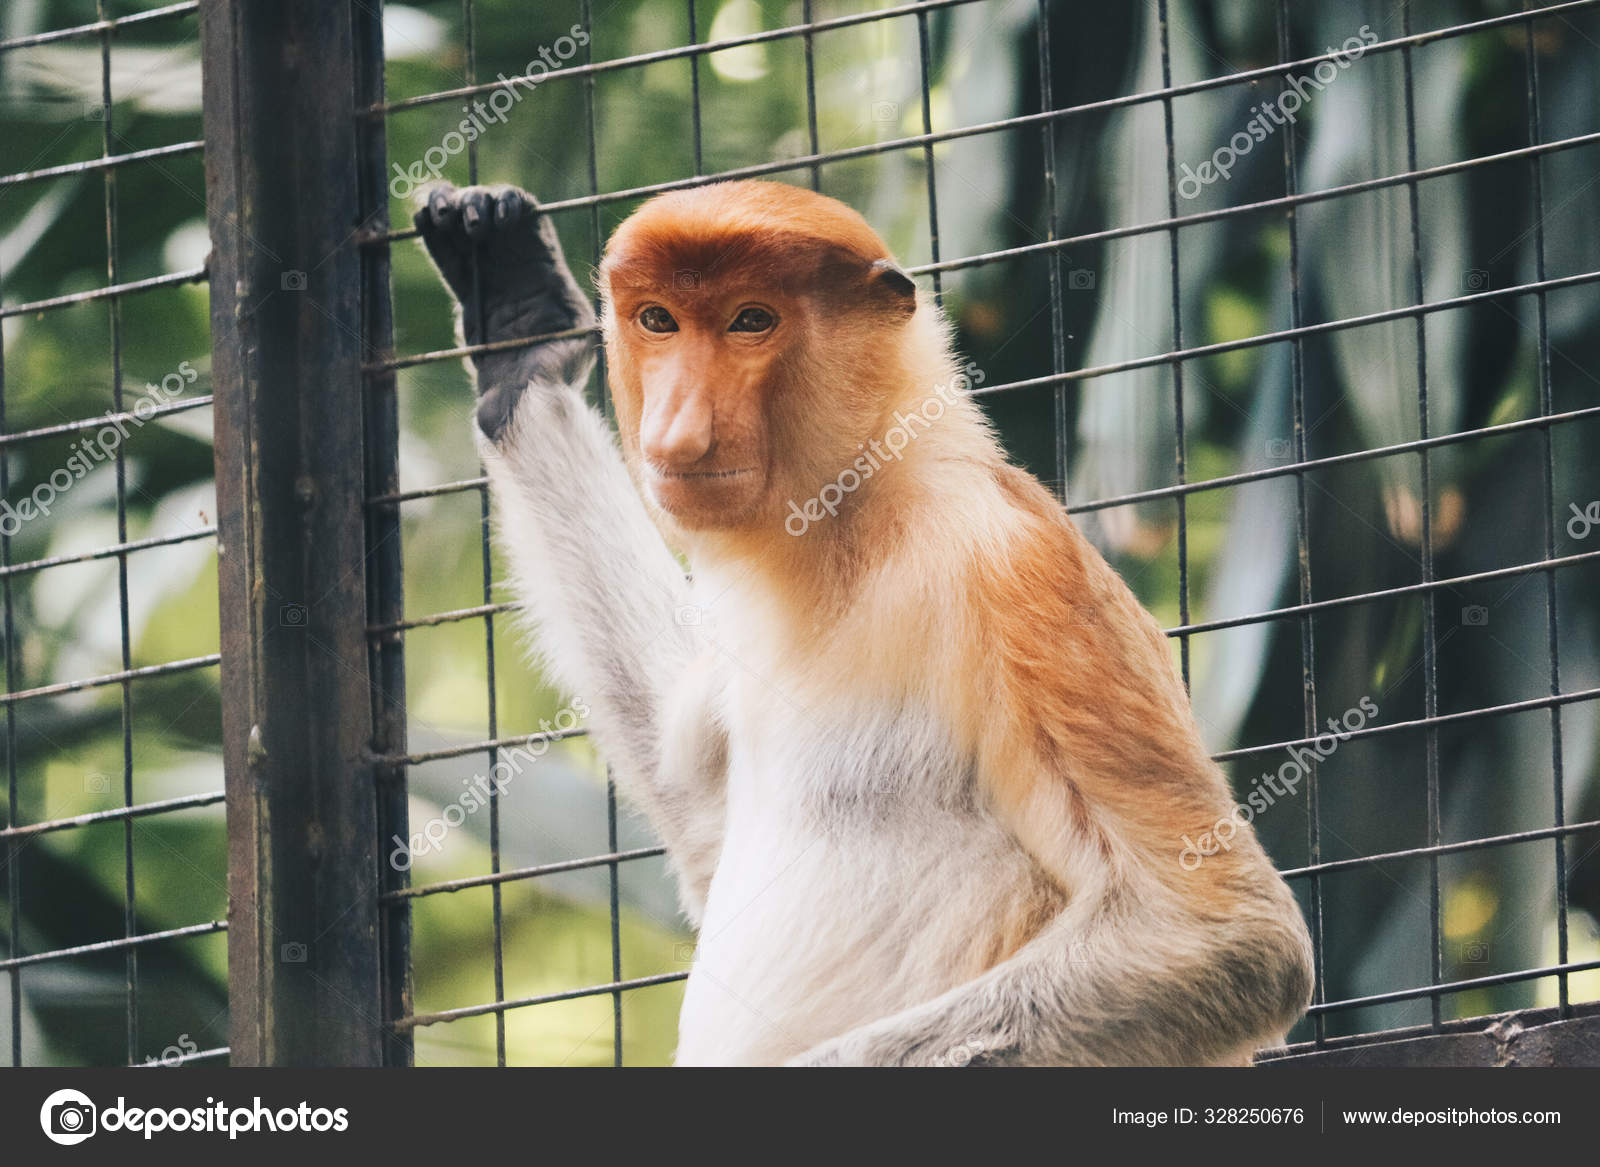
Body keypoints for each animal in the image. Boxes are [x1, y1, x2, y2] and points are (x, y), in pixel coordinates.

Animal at [414, 179, 1314, 1066]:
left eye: (751, 320)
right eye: (658, 320)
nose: (677, 429)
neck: (855, 514)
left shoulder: (1012, 563)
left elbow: (1220, 935)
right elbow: (701, 810)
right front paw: (521, 339)